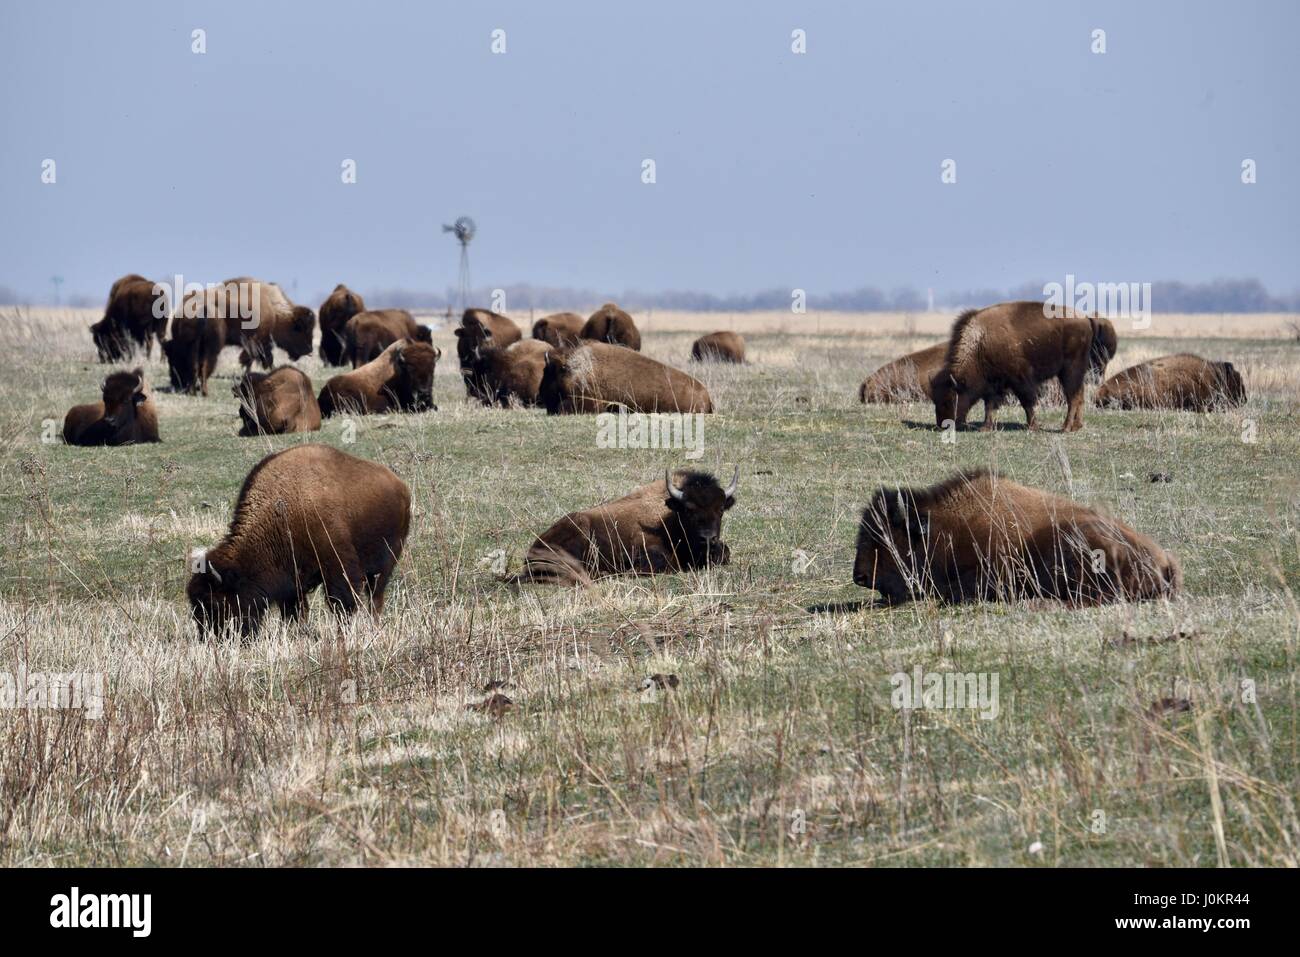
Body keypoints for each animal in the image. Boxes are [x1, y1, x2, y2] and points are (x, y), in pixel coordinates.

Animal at [186, 444, 411, 637]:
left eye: (214, 603)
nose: (211, 639)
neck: (284, 510)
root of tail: (401, 487)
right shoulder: (291, 579)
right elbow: (294, 611)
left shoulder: (338, 567)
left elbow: (341, 603)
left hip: (386, 562)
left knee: (375, 597)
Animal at [512, 467, 738, 586]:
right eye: (689, 510)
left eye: (720, 510)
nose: (708, 539)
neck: (670, 516)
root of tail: (530, 553)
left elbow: (725, 551)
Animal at [931, 301, 1118, 432]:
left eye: (949, 399)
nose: (942, 424)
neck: (981, 342)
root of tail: (1086, 319)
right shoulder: (994, 385)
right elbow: (989, 406)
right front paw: (986, 427)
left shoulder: (1021, 381)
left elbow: (1027, 403)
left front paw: (1033, 426)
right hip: (1074, 373)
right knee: (1079, 395)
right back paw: (1076, 426)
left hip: (1070, 370)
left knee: (1073, 398)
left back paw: (1065, 428)